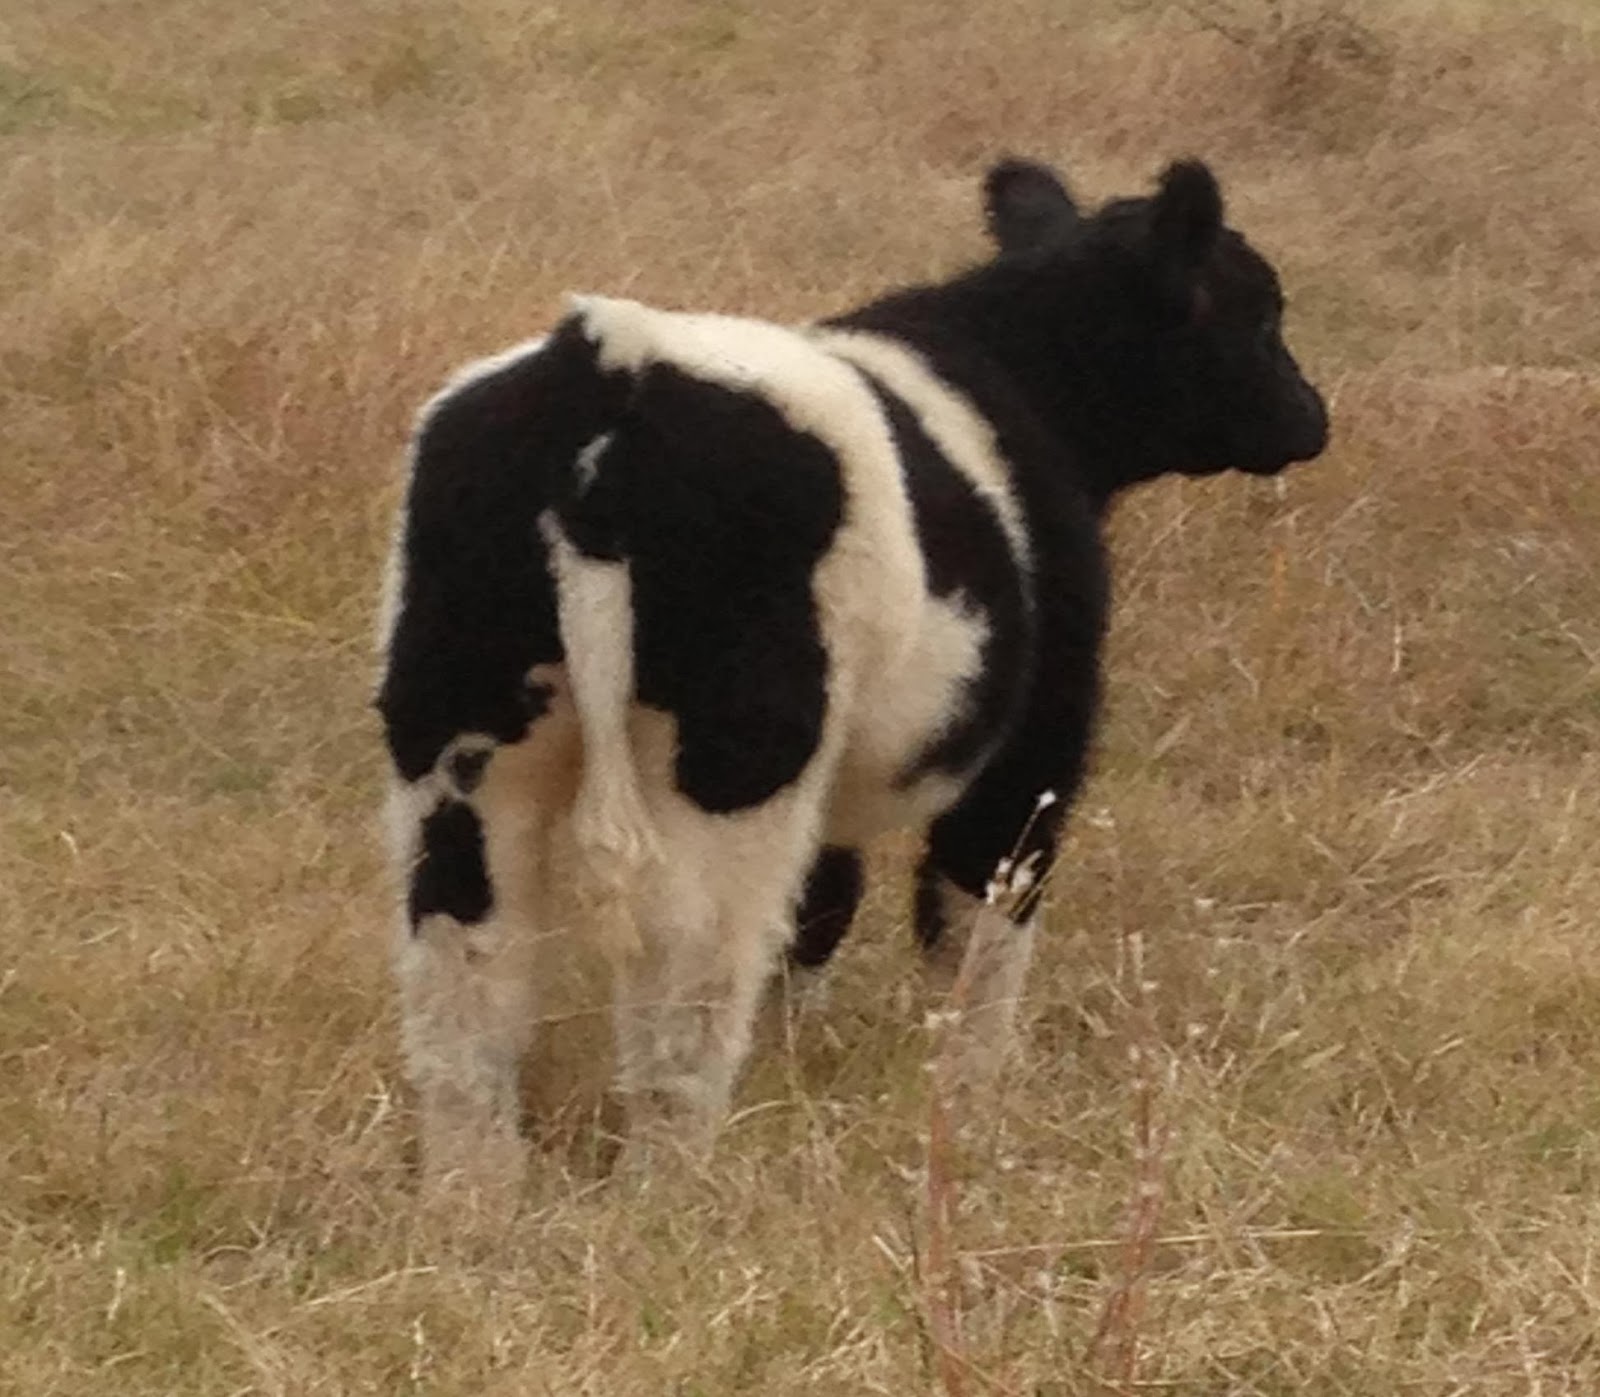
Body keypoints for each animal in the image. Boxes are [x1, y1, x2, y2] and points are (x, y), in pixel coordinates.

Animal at [376, 156, 1329, 1196]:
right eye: (1261, 311)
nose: (1312, 417)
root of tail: (611, 362)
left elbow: (821, 908)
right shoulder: (1035, 745)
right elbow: (977, 924)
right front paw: (976, 1100)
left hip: (458, 738)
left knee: (464, 972)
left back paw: (475, 1197)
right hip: (735, 761)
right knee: (686, 979)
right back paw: (670, 1191)